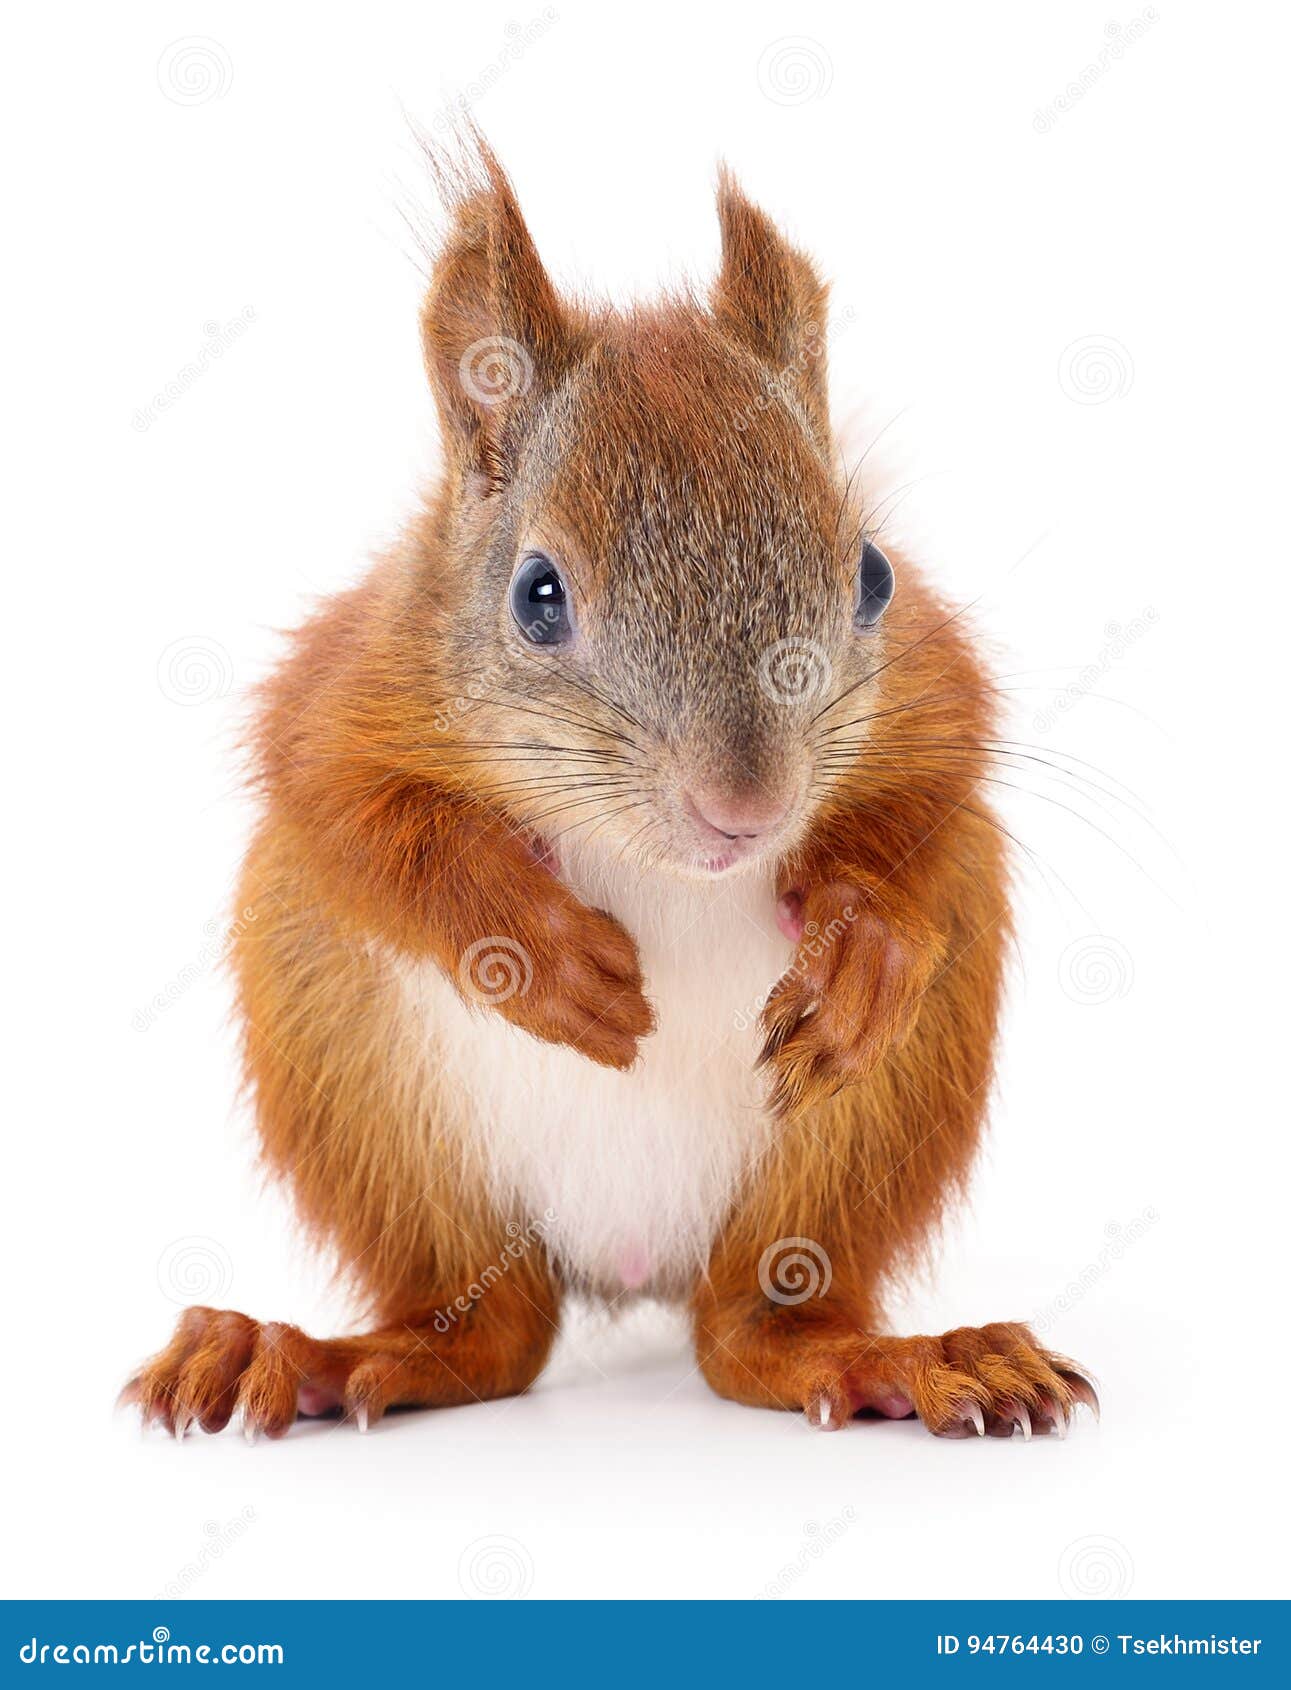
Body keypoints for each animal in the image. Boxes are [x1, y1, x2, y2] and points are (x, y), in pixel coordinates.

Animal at [125, 137, 1096, 1442]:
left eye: (873, 575)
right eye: (537, 594)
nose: (745, 808)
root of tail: (633, 1262)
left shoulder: (932, 685)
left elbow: (939, 787)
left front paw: (868, 941)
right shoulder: (352, 682)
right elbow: (350, 805)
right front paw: (540, 952)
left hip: (855, 1138)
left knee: (754, 1325)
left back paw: (896, 1359)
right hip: (351, 1068)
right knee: (488, 1327)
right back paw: (310, 1353)